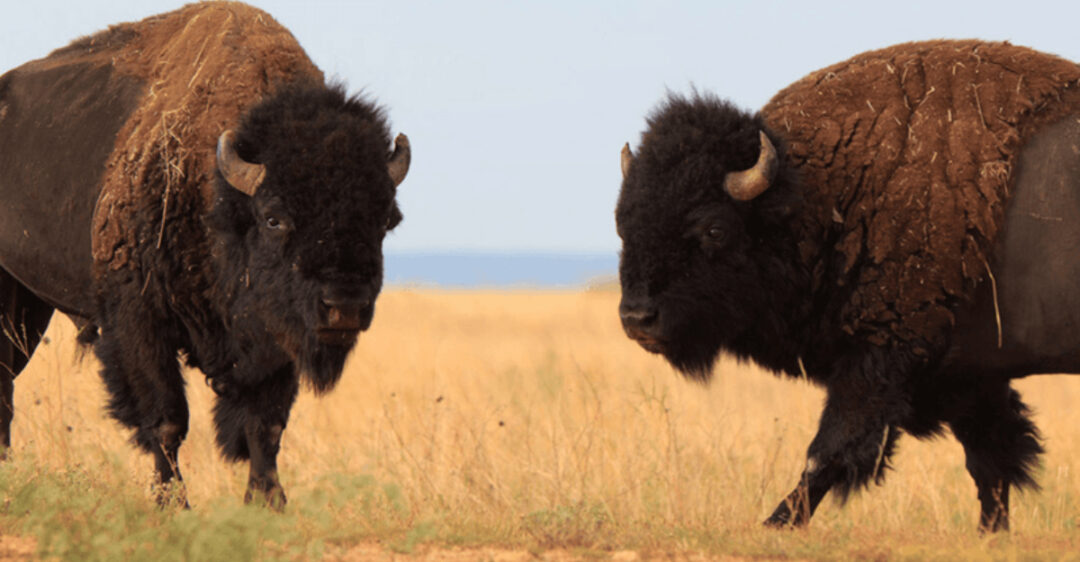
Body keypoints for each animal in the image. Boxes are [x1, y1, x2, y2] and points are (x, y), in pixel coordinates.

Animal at [0, 2, 409, 507]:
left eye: (385, 220)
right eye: (274, 217)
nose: (344, 306)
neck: (217, 193)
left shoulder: (273, 341)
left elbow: (265, 425)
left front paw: (267, 503)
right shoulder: (139, 323)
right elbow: (167, 420)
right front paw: (172, 504)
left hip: (27, 309)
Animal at [617, 40, 1080, 531]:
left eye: (714, 229)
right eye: (622, 222)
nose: (638, 318)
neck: (822, 194)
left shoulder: (880, 360)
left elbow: (829, 452)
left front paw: (775, 525)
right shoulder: (967, 376)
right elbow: (991, 459)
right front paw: (991, 531)